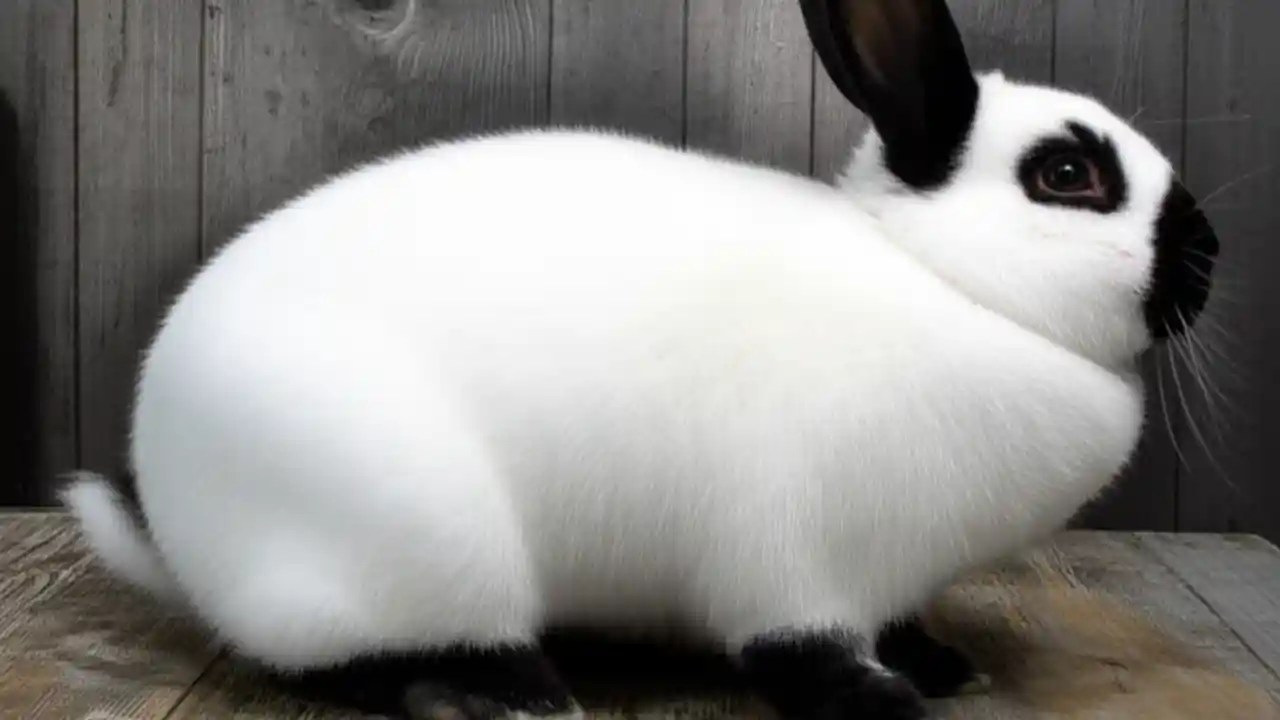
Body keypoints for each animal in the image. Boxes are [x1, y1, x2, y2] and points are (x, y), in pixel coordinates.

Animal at [62, 0, 1219, 718]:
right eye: (1066, 175)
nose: (1207, 257)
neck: (944, 279)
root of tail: (179, 530)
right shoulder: (796, 556)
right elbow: (801, 648)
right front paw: (881, 699)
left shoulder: (885, 571)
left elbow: (900, 622)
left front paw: (942, 664)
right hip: (407, 538)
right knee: (327, 656)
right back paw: (496, 692)